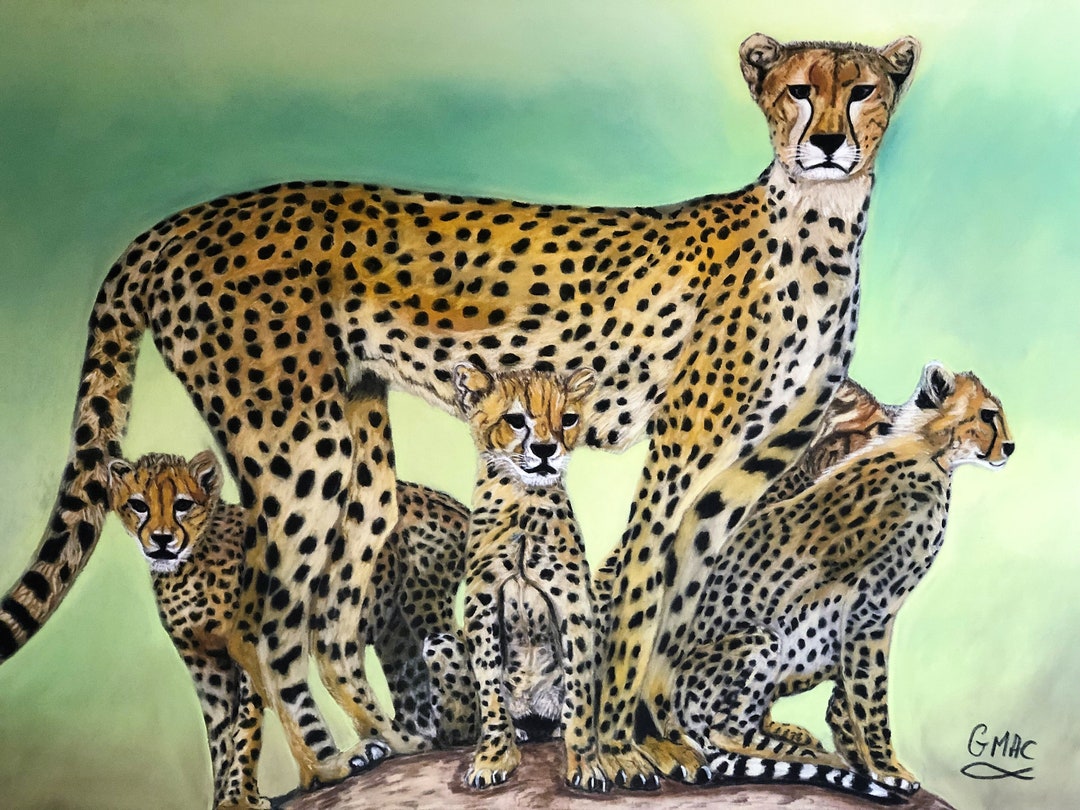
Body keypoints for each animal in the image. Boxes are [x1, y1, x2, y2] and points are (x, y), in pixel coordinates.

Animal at [107, 450, 471, 806]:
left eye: (183, 504)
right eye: (139, 505)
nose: (162, 540)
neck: (187, 564)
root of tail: (447, 501)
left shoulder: (248, 646)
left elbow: (247, 729)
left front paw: (240, 797)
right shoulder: (204, 664)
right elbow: (220, 738)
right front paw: (225, 796)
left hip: (421, 604)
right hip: (394, 632)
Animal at [668, 362, 1013, 803]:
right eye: (987, 415)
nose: (1010, 447)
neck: (925, 446)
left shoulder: (862, 621)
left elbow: (852, 698)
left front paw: (865, 759)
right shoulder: (871, 613)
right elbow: (872, 696)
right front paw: (888, 768)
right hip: (764, 639)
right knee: (725, 735)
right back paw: (806, 755)